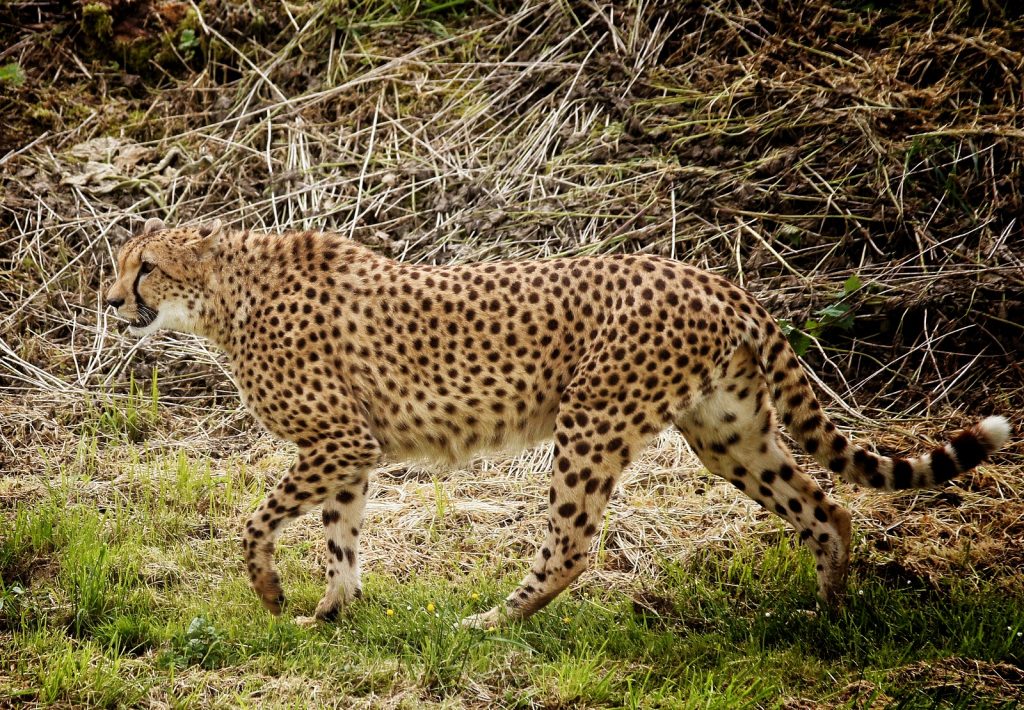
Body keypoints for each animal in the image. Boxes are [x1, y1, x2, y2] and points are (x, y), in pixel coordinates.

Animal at [105, 217, 1011, 628]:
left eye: (143, 268)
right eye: (119, 268)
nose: (111, 303)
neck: (225, 293)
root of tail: (713, 277)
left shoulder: (339, 439)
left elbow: (256, 521)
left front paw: (271, 589)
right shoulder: (350, 451)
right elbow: (340, 535)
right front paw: (333, 609)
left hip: (593, 419)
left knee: (572, 545)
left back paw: (492, 621)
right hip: (728, 436)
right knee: (827, 509)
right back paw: (823, 620)